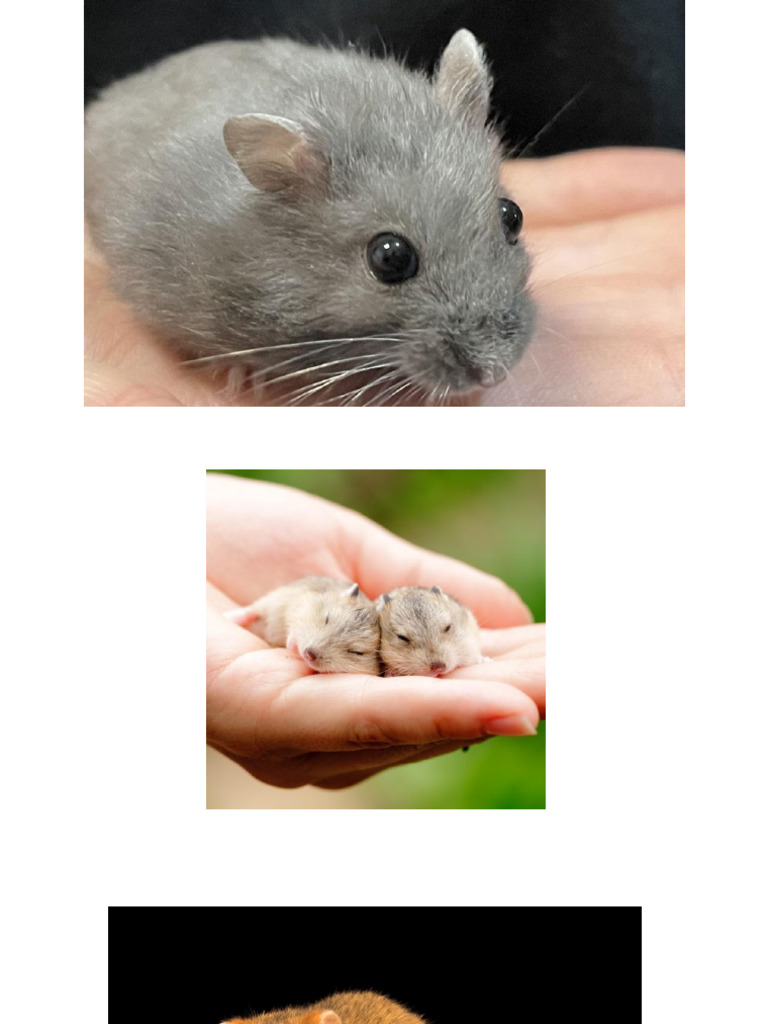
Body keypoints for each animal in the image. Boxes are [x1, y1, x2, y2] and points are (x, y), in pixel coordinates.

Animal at [225, 576, 380, 675]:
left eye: (356, 652)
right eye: (327, 618)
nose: (308, 654)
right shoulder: (300, 604)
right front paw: (292, 646)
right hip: (273, 599)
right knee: (253, 610)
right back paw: (228, 617)